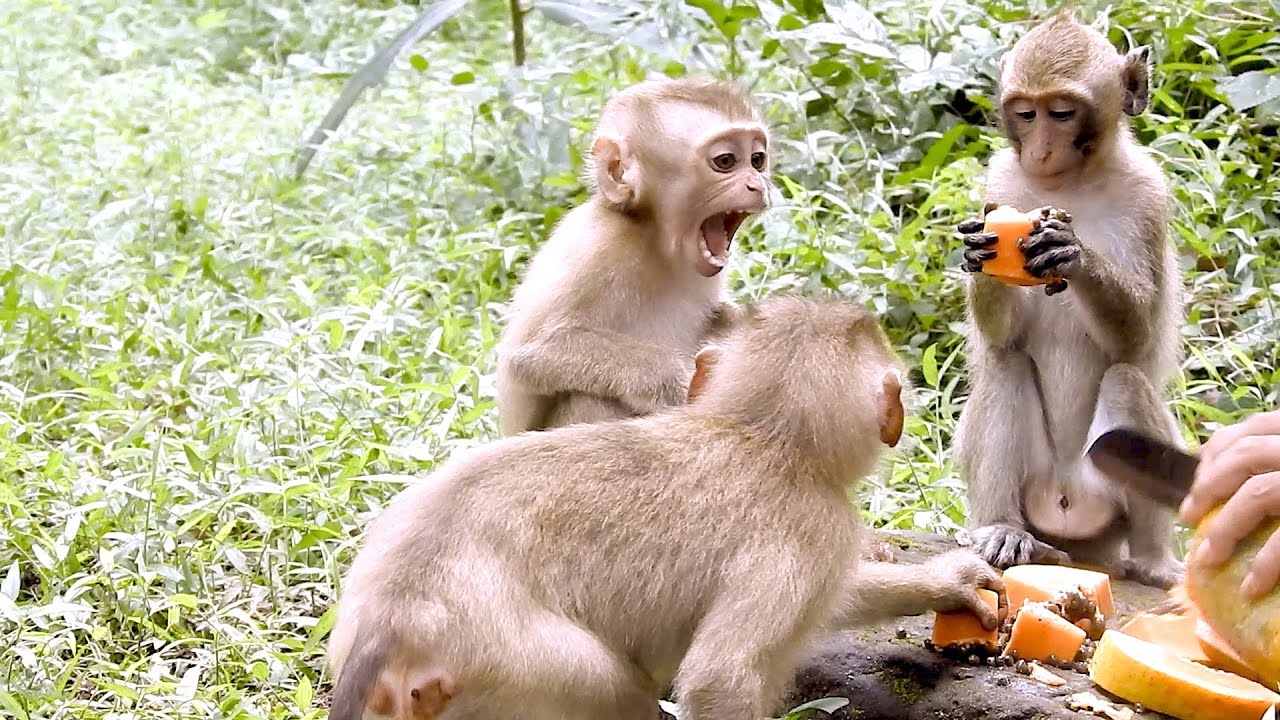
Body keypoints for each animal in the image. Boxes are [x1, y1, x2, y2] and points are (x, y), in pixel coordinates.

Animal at [327, 295, 1006, 720]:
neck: (761, 432)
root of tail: (396, 612)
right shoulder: (815, 529)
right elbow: (718, 681)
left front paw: (948, 581)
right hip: (512, 664)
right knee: (616, 694)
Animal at [495, 77, 770, 436]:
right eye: (725, 161)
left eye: (757, 159)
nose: (759, 185)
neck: (657, 242)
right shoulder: (600, 245)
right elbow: (527, 355)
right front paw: (672, 381)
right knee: (590, 397)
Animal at [953, 11, 1186, 589]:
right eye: (1025, 113)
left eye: (1061, 112)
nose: (1039, 150)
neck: (1075, 183)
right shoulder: (999, 180)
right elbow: (1002, 337)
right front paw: (980, 249)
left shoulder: (1149, 198)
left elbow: (1136, 339)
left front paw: (1072, 252)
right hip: (1032, 493)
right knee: (1006, 364)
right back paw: (1002, 529)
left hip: (1104, 500)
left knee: (1126, 381)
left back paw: (1152, 559)